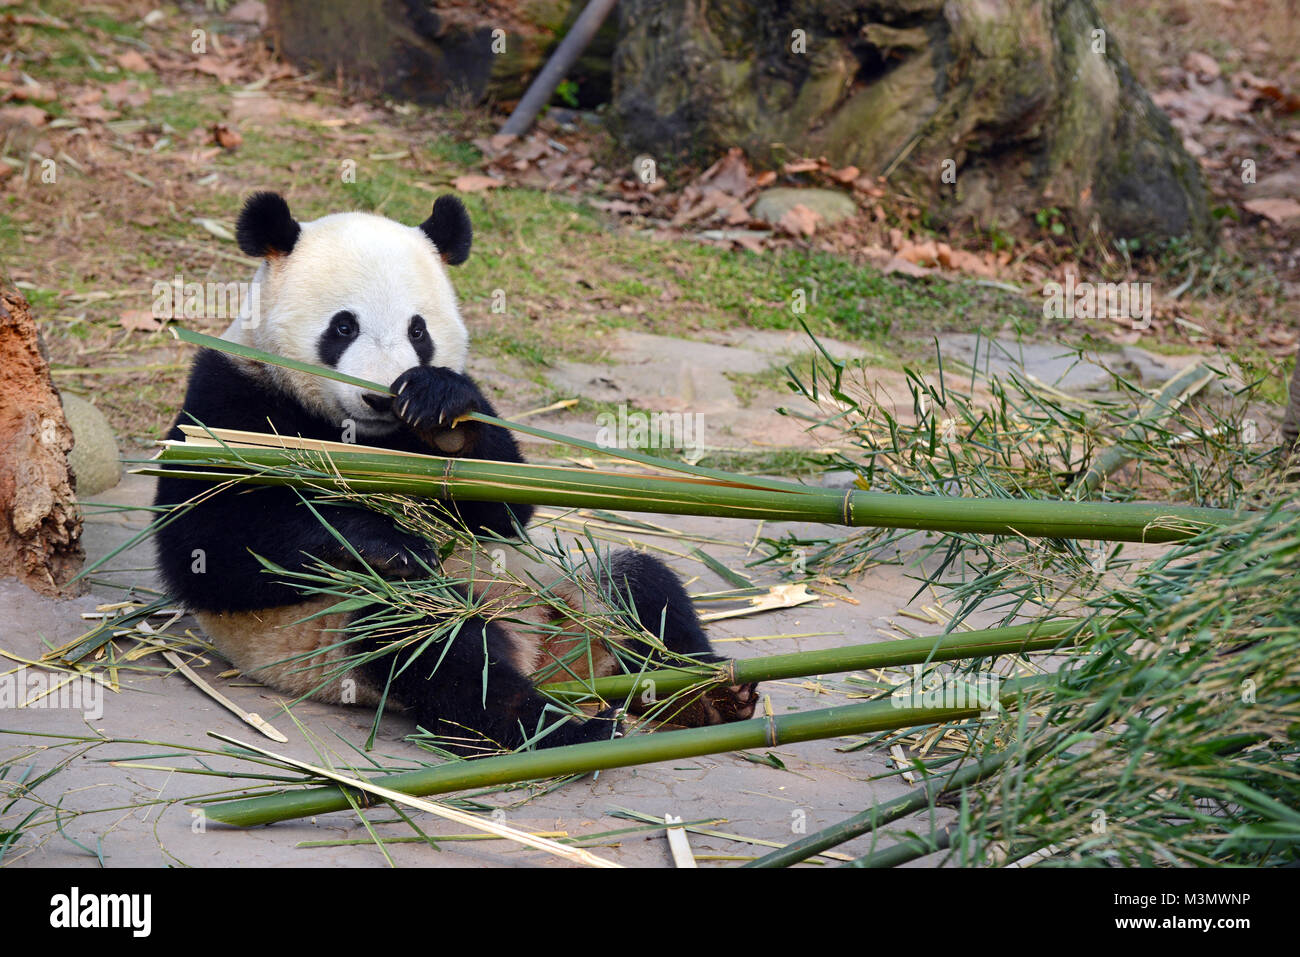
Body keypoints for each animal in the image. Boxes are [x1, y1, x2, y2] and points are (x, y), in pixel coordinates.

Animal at [152, 191, 759, 755]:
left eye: (418, 332)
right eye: (343, 327)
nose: (381, 397)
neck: (362, 437)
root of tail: (542, 658)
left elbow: (503, 503)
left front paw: (438, 408)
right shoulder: (228, 398)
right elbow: (207, 544)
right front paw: (386, 540)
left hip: (566, 587)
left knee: (638, 586)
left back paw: (705, 693)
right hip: (335, 633)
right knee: (431, 645)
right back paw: (559, 728)